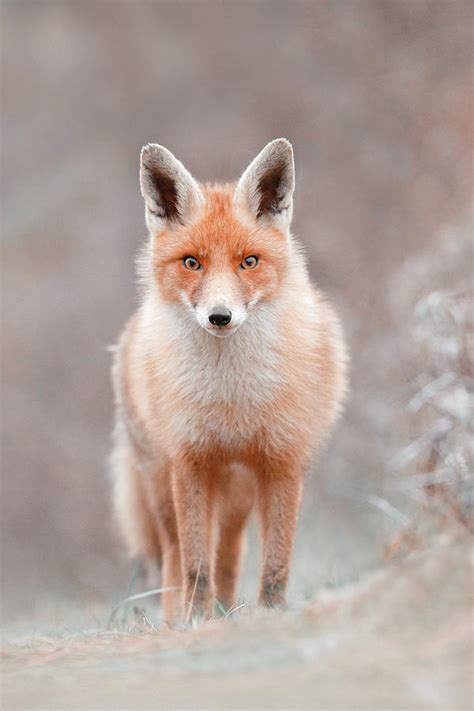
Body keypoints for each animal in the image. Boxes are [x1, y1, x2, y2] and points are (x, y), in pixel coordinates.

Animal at [111, 138, 348, 624]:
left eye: (249, 262)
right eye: (192, 263)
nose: (220, 317)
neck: (233, 400)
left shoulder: (283, 462)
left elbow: (275, 562)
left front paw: (271, 613)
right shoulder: (191, 463)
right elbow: (195, 565)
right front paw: (195, 619)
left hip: (237, 493)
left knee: (229, 551)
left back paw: (223, 609)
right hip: (163, 484)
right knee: (174, 556)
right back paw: (179, 617)